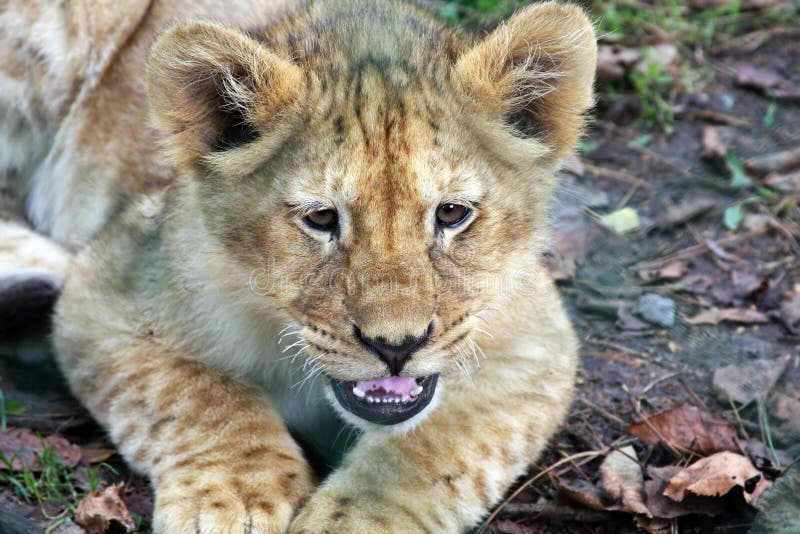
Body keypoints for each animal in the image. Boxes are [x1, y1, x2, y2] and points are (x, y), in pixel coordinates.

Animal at [1, 0, 596, 531]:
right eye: (321, 218)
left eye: (451, 213)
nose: (396, 347)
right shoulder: (107, 287)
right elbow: (199, 395)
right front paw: (236, 497)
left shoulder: (536, 344)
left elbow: (429, 447)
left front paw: (351, 523)